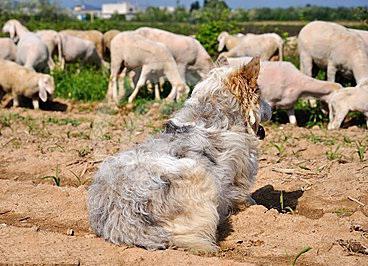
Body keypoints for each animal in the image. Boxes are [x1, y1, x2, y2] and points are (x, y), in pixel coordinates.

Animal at [88, 57, 274, 251]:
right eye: (260, 96)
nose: (272, 109)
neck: (214, 117)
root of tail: (124, 218)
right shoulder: (241, 175)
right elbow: (244, 197)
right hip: (198, 174)